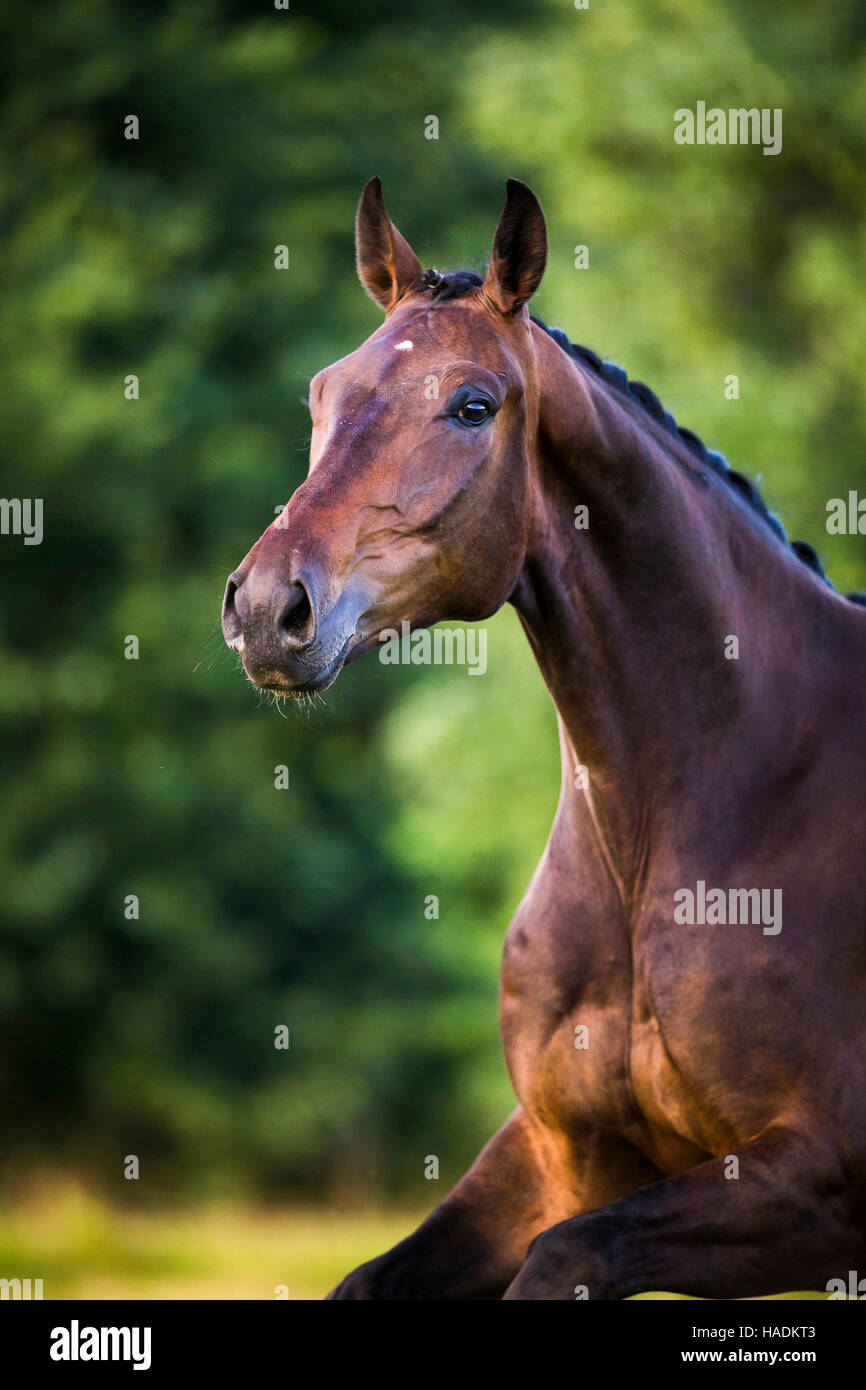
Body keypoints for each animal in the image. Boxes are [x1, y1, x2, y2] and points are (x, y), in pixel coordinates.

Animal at [221, 177, 866, 1299]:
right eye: (320, 395)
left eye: (472, 405)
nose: (267, 609)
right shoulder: (554, 1158)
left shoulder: (809, 1182)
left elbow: (568, 1255)